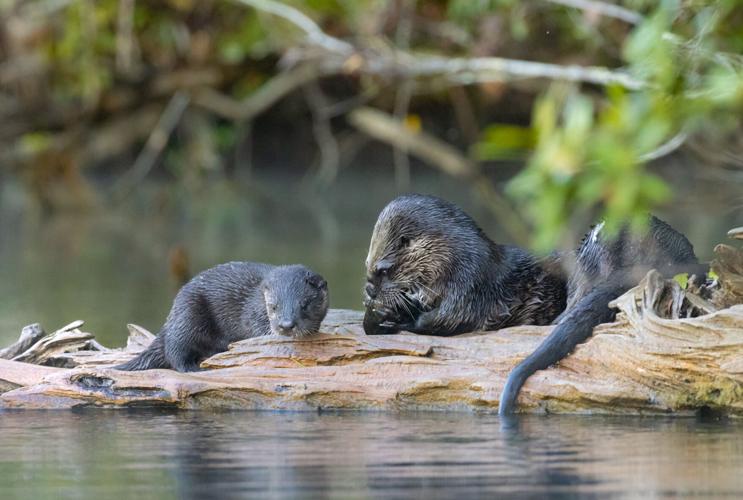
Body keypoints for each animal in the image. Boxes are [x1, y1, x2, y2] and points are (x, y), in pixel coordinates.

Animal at [116, 262, 329, 372]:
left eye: (304, 304)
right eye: (273, 306)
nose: (286, 325)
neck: (258, 300)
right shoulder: (252, 314)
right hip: (187, 316)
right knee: (175, 351)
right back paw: (195, 368)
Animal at [362, 194, 703, 414]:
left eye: (383, 269)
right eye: (367, 267)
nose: (368, 289)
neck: (452, 261)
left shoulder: (469, 288)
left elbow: (445, 321)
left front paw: (396, 317)